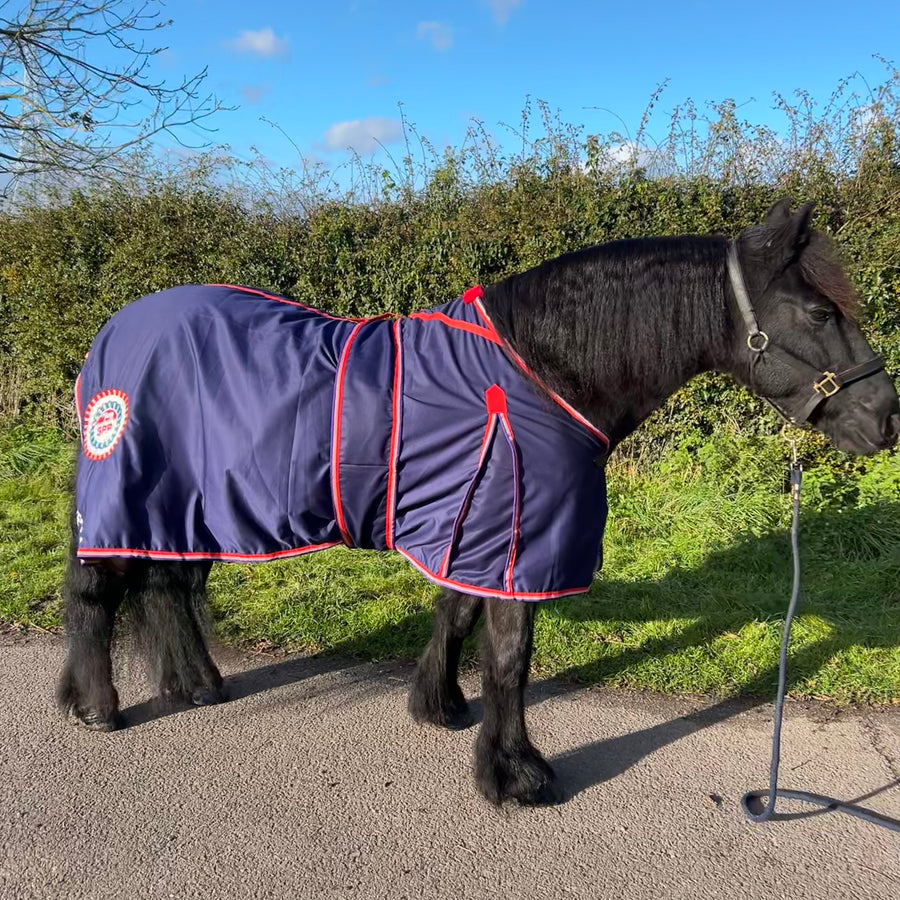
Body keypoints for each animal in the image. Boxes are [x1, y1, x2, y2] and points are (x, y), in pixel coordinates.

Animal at [57, 199, 900, 805]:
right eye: (821, 313)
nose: (886, 418)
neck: (540, 373)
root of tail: (117, 328)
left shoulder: (478, 528)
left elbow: (456, 617)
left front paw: (439, 706)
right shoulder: (516, 536)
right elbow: (510, 658)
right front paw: (516, 773)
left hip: (184, 504)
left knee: (165, 587)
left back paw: (197, 686)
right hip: (130, 487)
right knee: (98, 593)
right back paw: (97, 706)